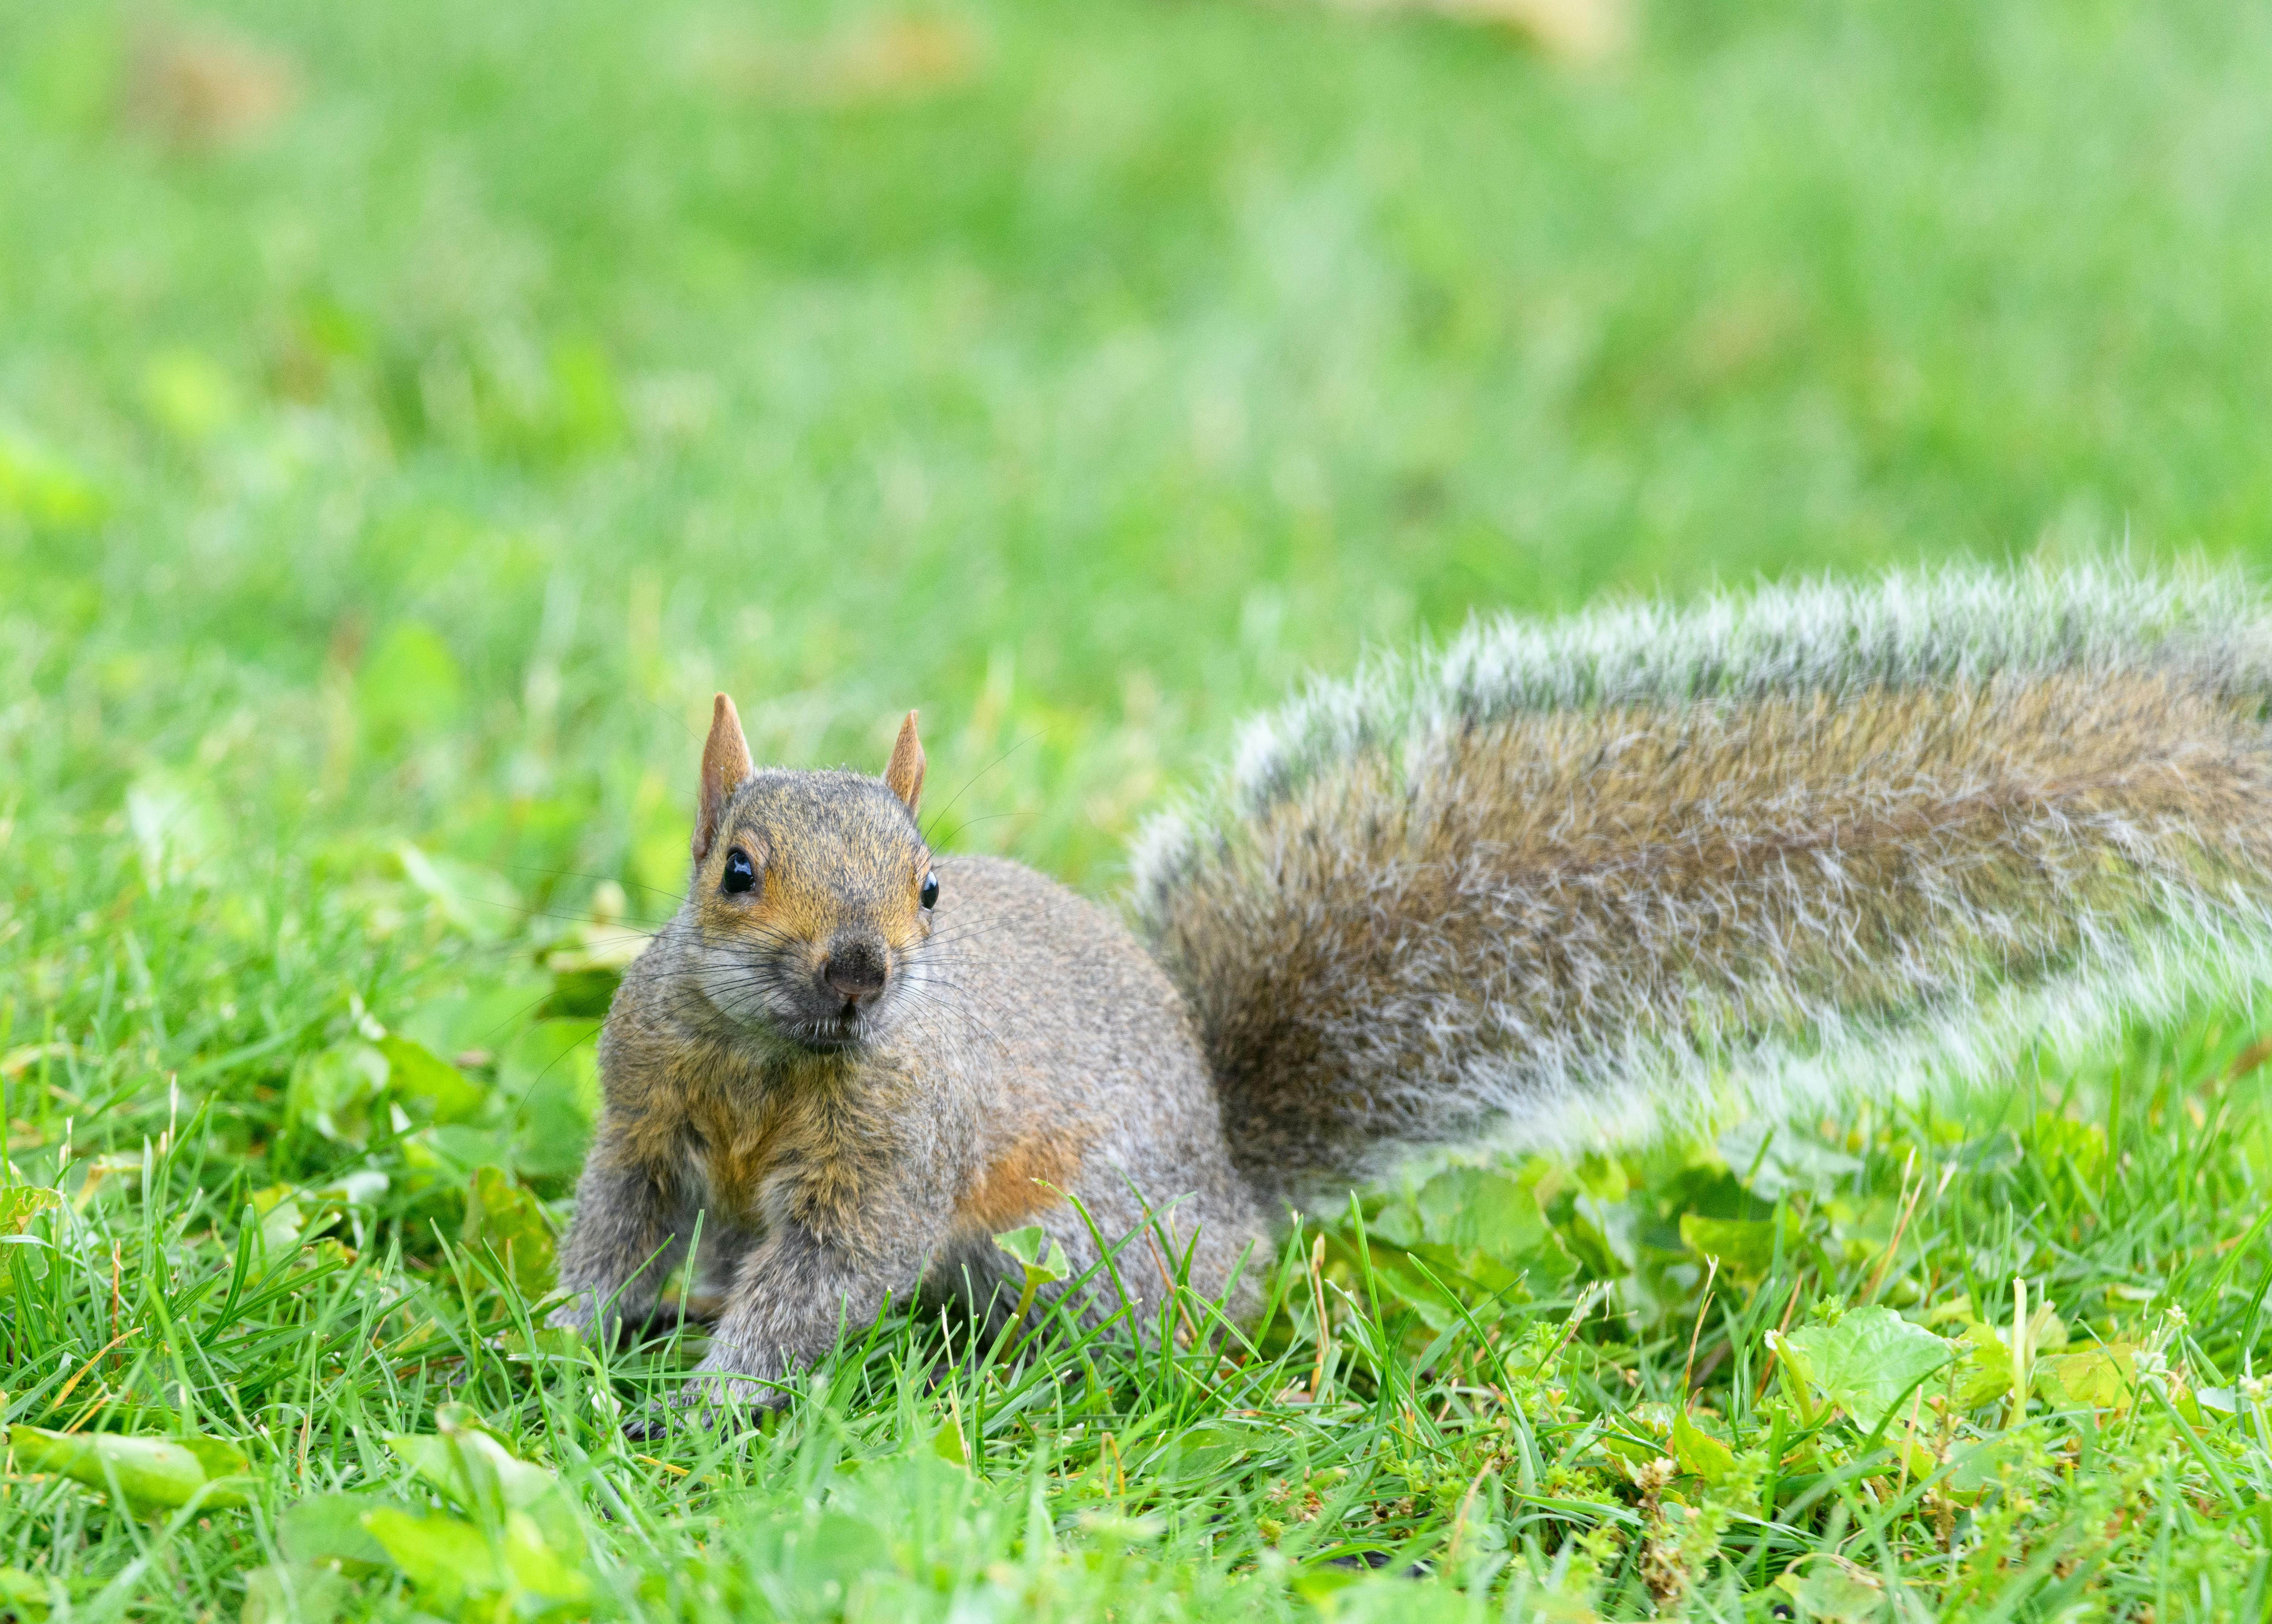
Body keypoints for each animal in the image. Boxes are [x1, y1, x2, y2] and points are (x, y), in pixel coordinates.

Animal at [552, 563, 2272, 1415]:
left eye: (926, 891)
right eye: (737, 871)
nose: (858, 974)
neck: (774, 1064)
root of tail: (1237, 1181)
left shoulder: (897, 1157)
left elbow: (830, 1277)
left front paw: (702, 1404)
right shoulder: (647, 1119)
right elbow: (623, 1220)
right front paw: (576, 1341)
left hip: (1082, 1249)